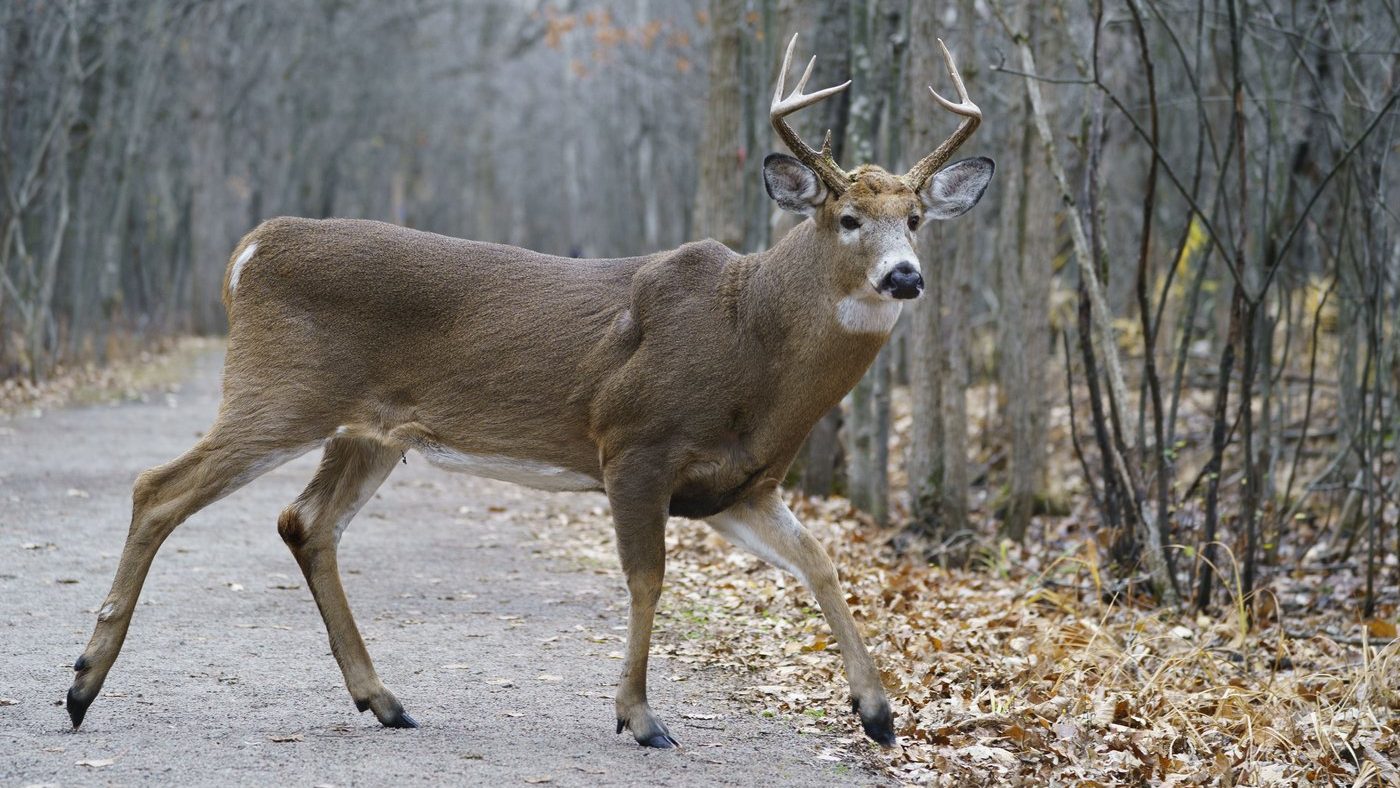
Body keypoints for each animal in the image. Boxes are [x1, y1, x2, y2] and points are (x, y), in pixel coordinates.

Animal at [65, 34, 992, 749]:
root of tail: (250, 250)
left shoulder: (739, 487)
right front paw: (640, 718)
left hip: (370, 431)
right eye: (848, 218)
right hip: (280, 390)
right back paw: (81, 685)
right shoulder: (633, 442)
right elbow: (647, 579)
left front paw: (878, 714)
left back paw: (384, 700)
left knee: (305, 521)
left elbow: (822, 564)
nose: (904, 277)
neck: (750, 340)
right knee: (159, 488)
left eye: (915, 220)